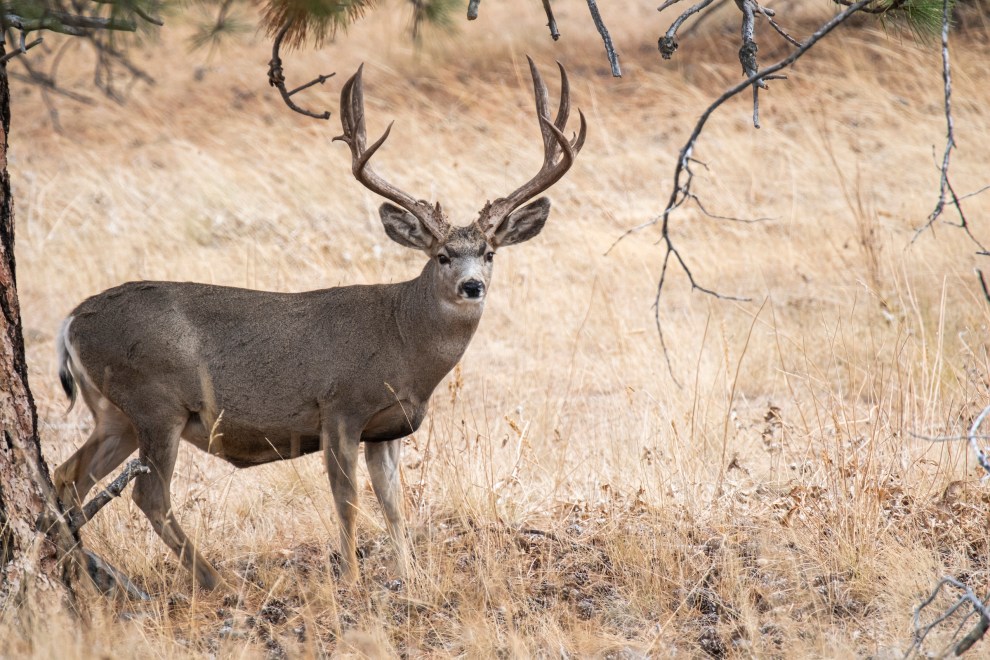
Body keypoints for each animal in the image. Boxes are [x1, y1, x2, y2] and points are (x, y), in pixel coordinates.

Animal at [52, 58, 586, 590]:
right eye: (442, 256)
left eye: (490, 253)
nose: (472, 286)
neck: (402, 339)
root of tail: (72, 319)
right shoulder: (339, 407)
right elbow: (347, 501)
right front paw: (351, 578)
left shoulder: (386, 429)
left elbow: (394, 505)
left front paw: (409, 576)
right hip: (155, 401)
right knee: (149, 496)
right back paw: (214, 581)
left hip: (116, 414)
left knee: (65, 479)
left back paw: (79, 574)